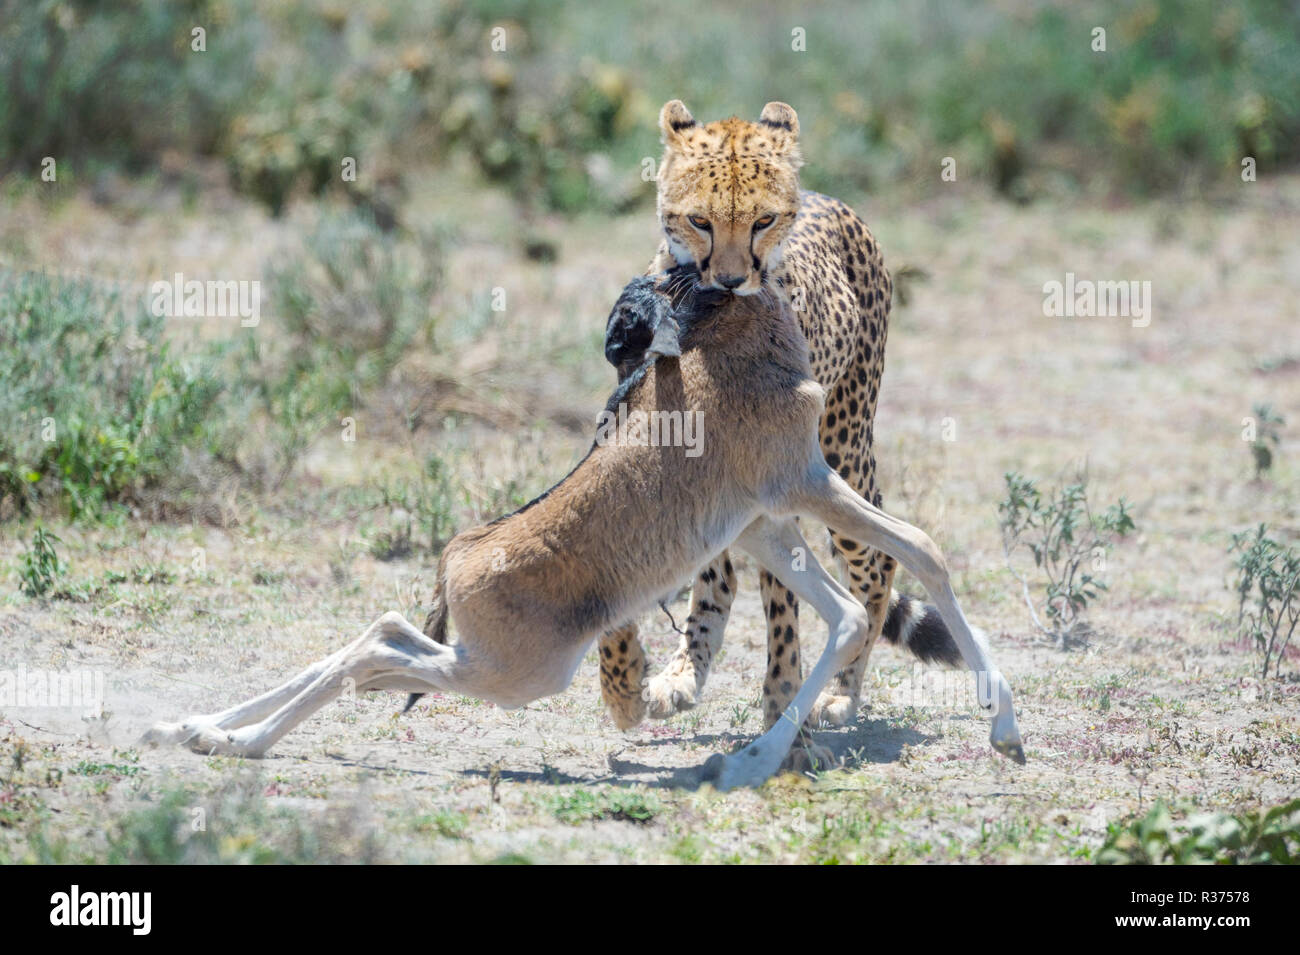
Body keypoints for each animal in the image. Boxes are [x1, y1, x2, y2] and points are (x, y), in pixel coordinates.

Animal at [597, 100, 965, 740]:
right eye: (699, 220)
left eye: (763, 221)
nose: (728, 278)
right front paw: (671, 672)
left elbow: (784, 606)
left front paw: (782, 699)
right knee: (722, 572)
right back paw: (686, 670)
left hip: (844, 437)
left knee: (877, 563)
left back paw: (841, 693)